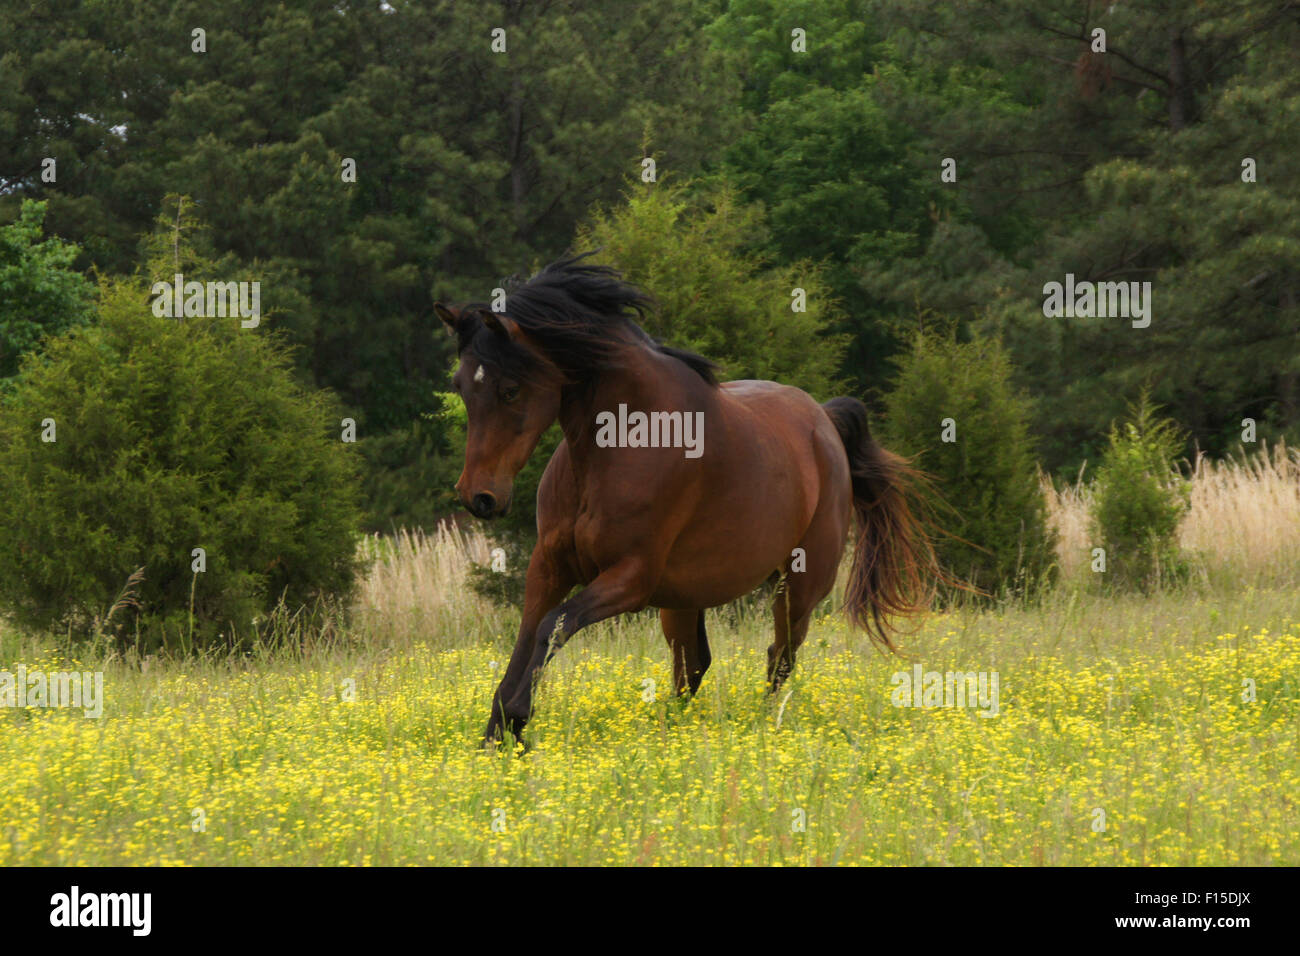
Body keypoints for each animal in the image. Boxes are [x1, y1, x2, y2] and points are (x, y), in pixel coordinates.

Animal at [435, 254, 939, 746]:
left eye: (510, 389)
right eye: (460, 386)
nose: (479, 497)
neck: (619, 444)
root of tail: (825, 422)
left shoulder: (630, 579)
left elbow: (552, 627)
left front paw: (518, 720)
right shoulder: (550, 565)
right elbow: (527, 637)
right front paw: (498, 732)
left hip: (799, 586)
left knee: (780, 657)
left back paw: (764, 726)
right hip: (681, 599)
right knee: (694, 665)